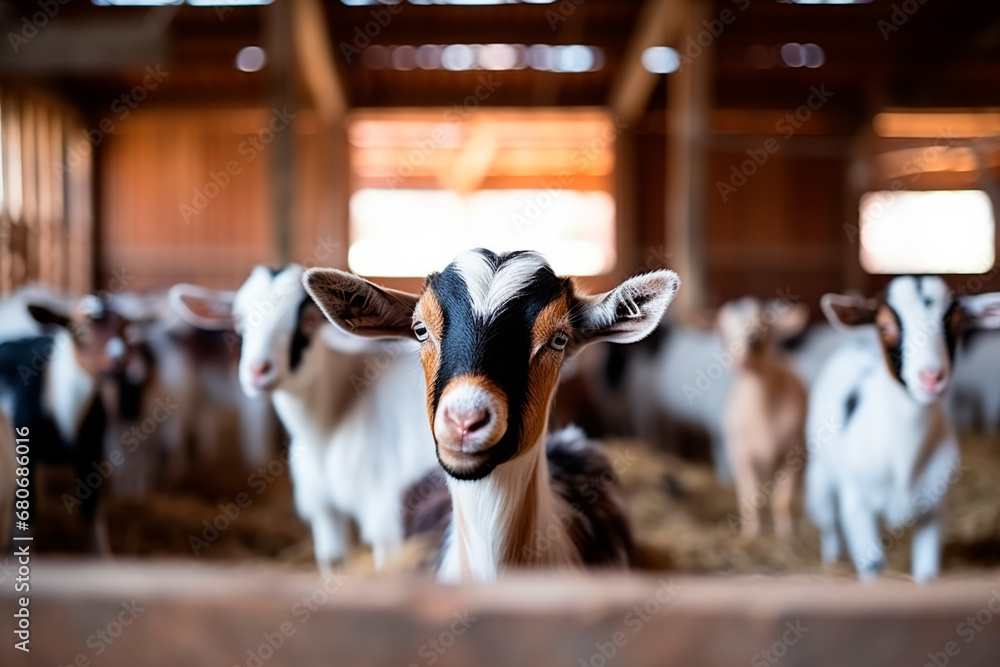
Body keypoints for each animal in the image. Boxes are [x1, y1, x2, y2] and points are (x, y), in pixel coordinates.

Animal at [170, 264, 437, 572]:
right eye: (238, 320)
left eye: (309, 320)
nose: (257, 371)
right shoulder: (323, 507)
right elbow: (333, 558)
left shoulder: (387, 517)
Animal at [717, 297, 809, 540]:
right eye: (722, 335)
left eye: (755, 335)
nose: (740, 360)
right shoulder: (739, 453)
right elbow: (750, 501)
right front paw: (750, 535)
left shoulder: (792, 454)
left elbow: (782, 502)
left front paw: (785, 535)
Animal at [806, 276, 1000, 581]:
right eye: (885, 326)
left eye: (958, 326)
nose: (931, 377)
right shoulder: (856, 503)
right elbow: (871, 567)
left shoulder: (934, 507)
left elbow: (927, 572)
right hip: (821, 475)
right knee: (828, 523)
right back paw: (830, 560)